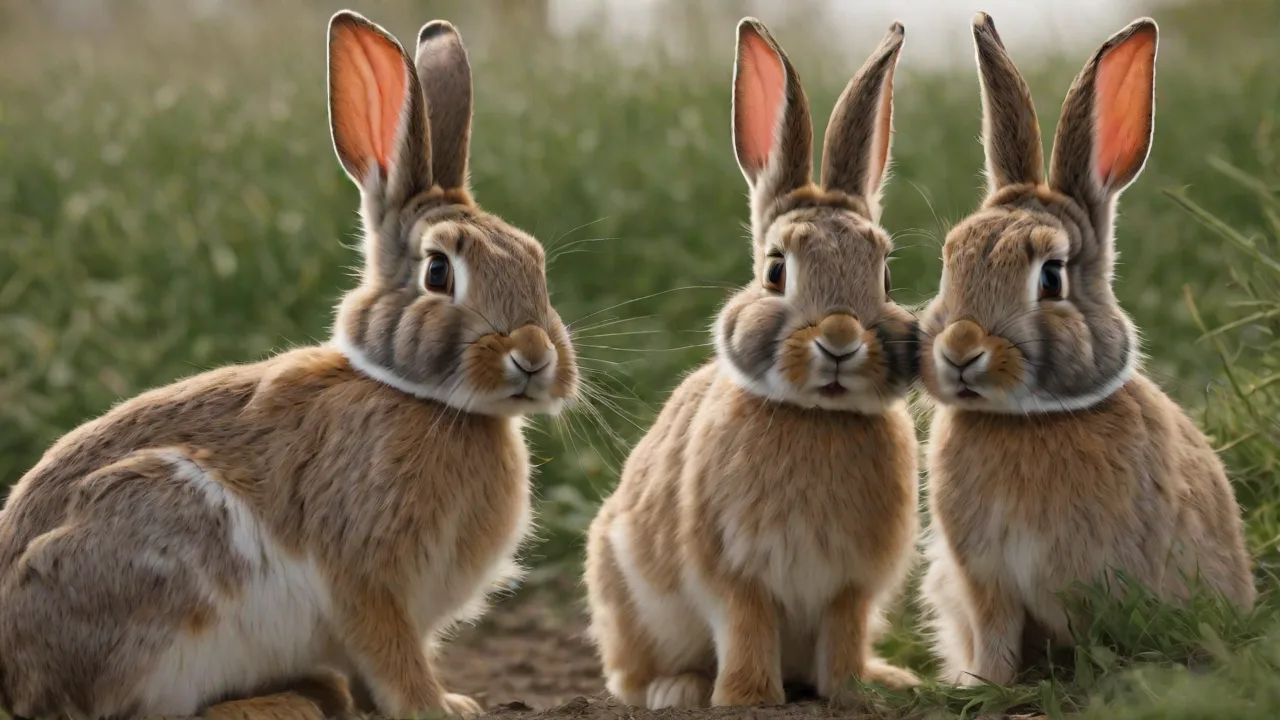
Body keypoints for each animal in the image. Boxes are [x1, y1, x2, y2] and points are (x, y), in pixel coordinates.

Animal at [0, 9, 578, 719]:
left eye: (535, 261)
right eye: (438, 272)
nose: (535, 357)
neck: (427, 401)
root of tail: (13, 669)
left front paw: (451, 702)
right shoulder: (365, 577)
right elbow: (391, 655)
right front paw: (434, 707)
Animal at [583, 18, 921, 710]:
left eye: (886, 276)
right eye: (775, 270)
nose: (840, 338)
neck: (816, 416)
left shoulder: (851, 587)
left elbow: (843, 634)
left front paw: (855, 693)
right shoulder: (734, 574)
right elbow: (746, 624)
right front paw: (747, 698)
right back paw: (677, 689)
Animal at [917, 13, 1256, 687]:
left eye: (1051, 277)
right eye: (950, 261)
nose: (961, 350)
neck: (1028, 419)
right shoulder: (985, 582)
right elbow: (996, 637)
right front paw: (982, 687)